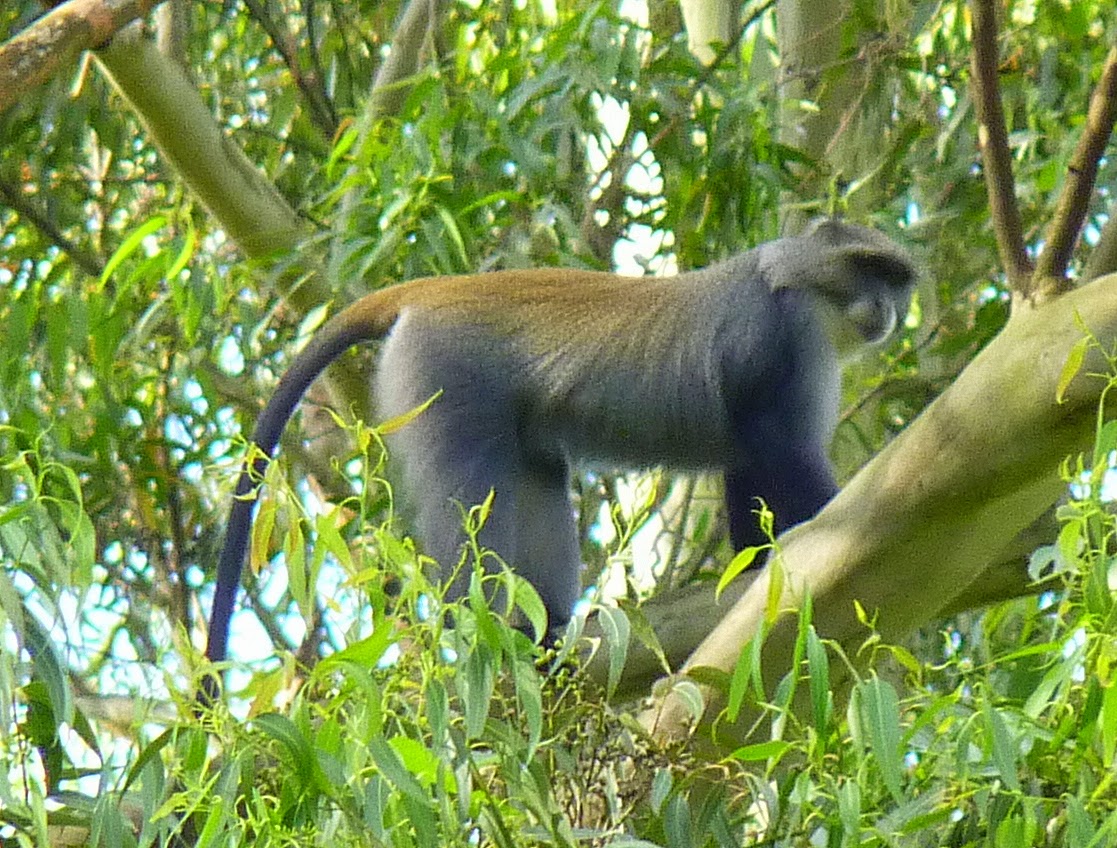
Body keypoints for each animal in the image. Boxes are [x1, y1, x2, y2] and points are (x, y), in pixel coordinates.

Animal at [201, 219, 916, 684]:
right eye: (867, 268)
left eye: (896, 278)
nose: (886, 308)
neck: (793, 284)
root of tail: (429, 290)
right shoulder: (775, 349)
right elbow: (780, 450)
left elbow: (747, 471)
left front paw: (755, 562)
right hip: (447, 383)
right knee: (474, 507)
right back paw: (487, 629)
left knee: (539, 479)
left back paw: (543, 634)